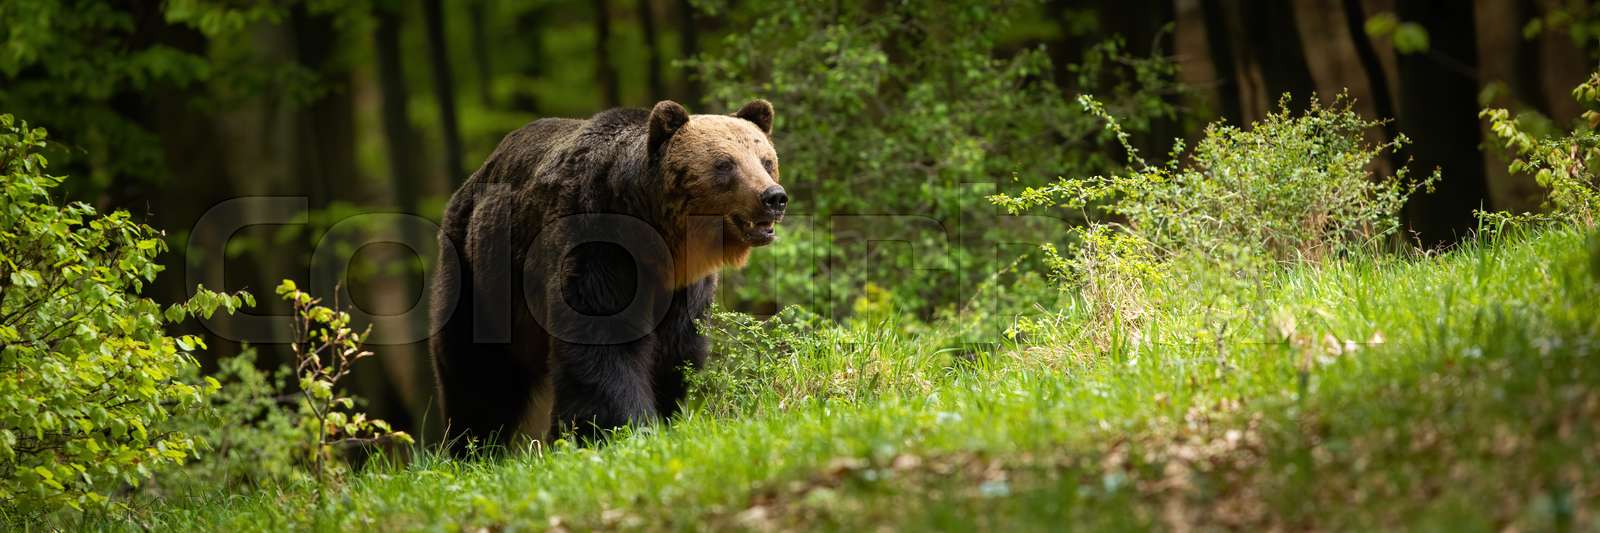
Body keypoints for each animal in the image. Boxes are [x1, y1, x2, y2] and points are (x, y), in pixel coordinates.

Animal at [429, 99, 785, 448]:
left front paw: (665, 415)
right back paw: (472, 444)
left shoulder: (682, 288)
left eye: (766, 160)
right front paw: (623, 427)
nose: (773, 197)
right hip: (483, 276)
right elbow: (603, 342)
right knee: (480, 369)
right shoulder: (598, 248)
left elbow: (676, 351)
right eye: (725, 164)